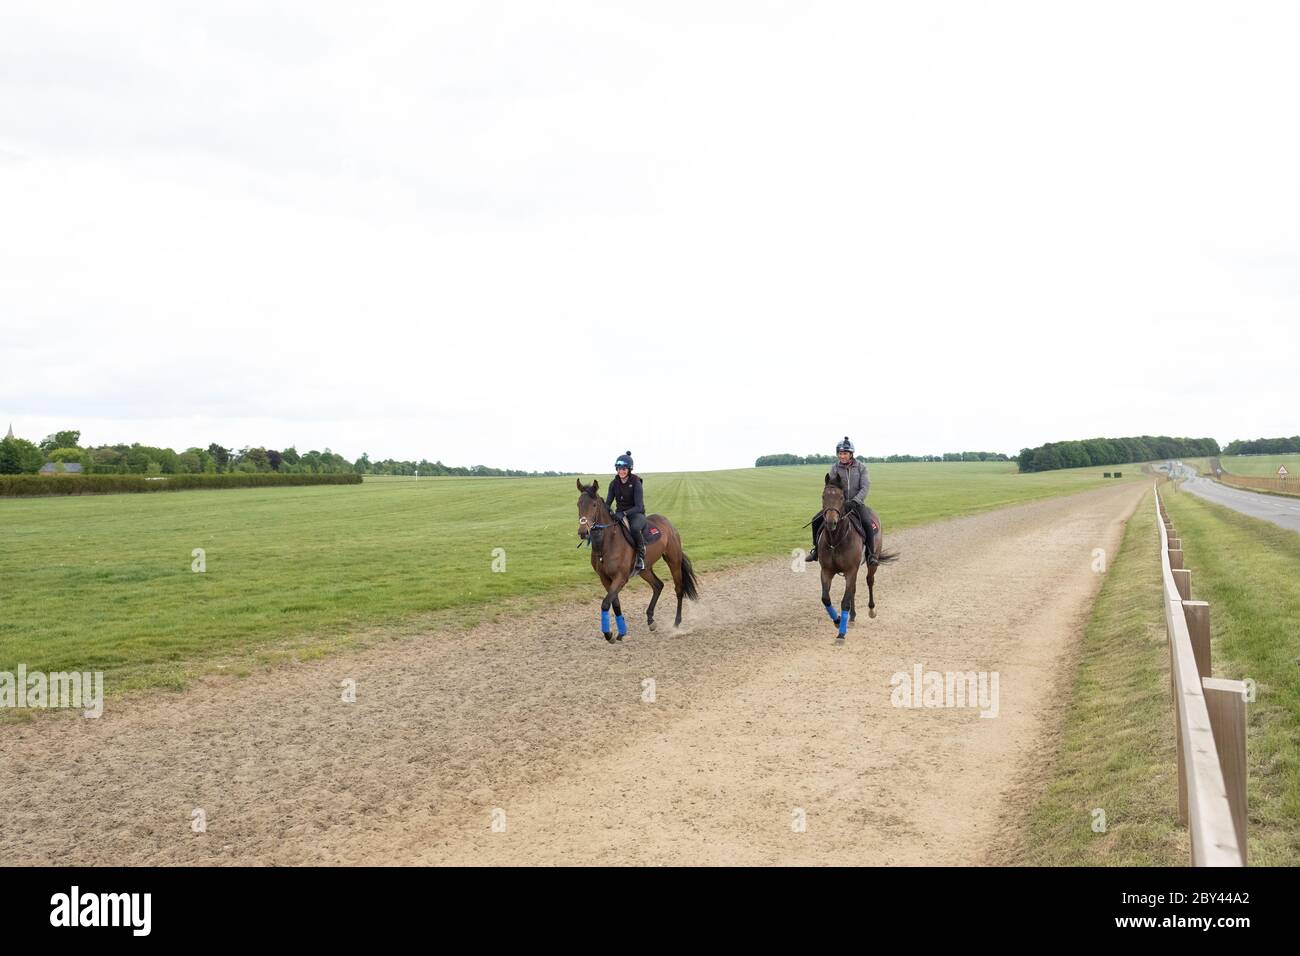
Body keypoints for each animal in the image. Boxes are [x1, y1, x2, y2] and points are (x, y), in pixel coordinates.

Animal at [576, 479, 700, 642]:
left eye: (594, 505)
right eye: (578, 504)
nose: (583, 532)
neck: (606, 544)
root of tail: (668, 523)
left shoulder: (621, 578)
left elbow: (605, 603)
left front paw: (608, 634)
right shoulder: (605, 579)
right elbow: (615, 603)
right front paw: (621, 632)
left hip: (673, 560)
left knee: (678, 589)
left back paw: (676, 622)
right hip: (645, 569)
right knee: (658, 585)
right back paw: (651, 620)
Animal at [815, 473, 897, 639]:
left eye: (841, 497)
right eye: (823, 496)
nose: (831, 522)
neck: (835, 540)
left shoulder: (850, 570)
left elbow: (845, 601)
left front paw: (841, 634)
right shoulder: (826, 571)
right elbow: (826, 598)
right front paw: (837, 620)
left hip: (872, 562)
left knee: (870, 581)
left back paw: (871, 610)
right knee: (852, 589)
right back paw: (851, 617)